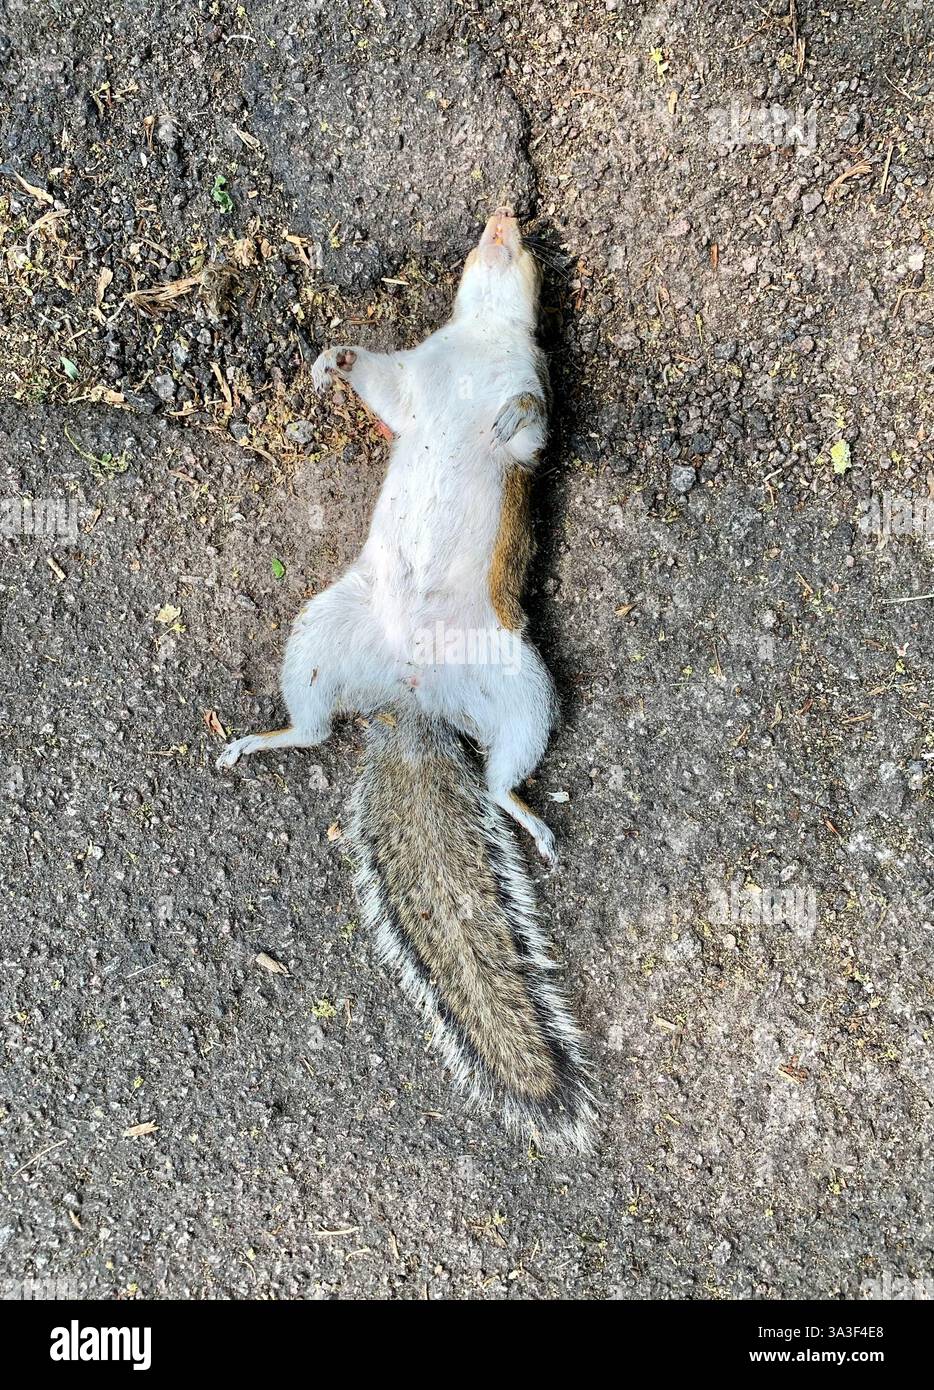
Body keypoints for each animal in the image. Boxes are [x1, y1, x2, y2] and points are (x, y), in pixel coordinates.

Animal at [218, 207, 595, 1151]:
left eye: (531, 256)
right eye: (482, 242)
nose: (503, 216)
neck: (479, 338)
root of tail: (410, 697)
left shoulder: (532, 395)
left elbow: (532, 424)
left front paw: (512, 414)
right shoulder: (416, 380)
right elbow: (383, 391)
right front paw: (334, 362)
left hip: (521, 686)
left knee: (499, 779)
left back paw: (525, 815)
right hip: (321, 633)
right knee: (313, 727)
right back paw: (262, 739)